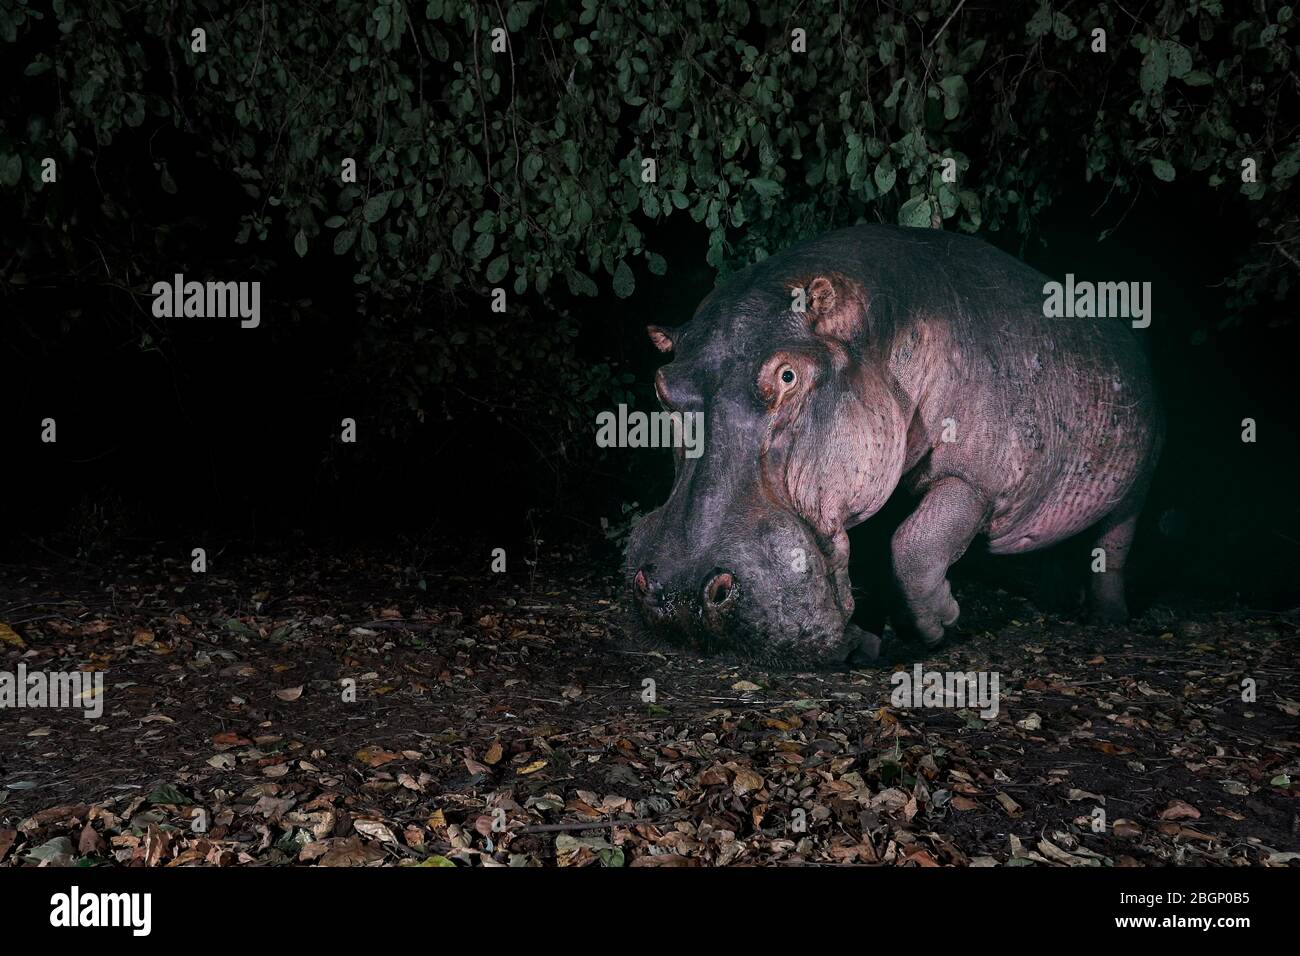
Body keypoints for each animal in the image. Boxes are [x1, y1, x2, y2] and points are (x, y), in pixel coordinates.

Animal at [626, 224, 1163, 668]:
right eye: (661, 386)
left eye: (787, 374)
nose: (680, 595)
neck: (881, 330)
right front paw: (872, 643)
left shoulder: (976, 477)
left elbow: (914, 543)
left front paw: (938, 627)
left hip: (1139, 482)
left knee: (1114, 541)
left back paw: (1108, 617)